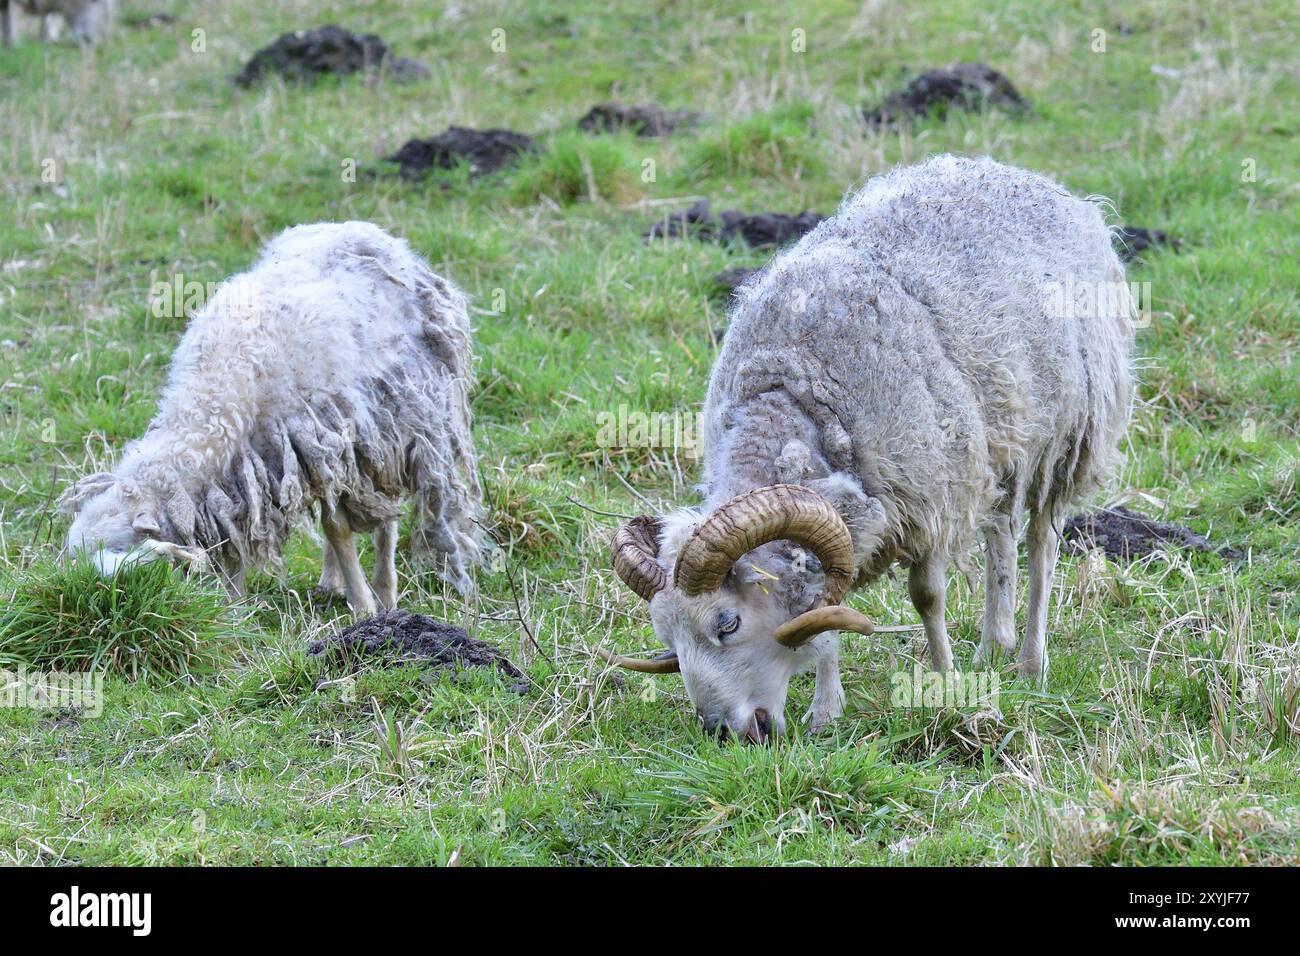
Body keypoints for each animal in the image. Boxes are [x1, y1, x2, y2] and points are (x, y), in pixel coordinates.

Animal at [59, 221, 482, 614]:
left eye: (118, 551)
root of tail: (365, 229)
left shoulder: (320, 443)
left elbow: (337, 527)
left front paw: (363, 606)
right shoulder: (253, 468)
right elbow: (240, 533)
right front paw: (231, 607)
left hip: (390, 422)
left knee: (384, 517)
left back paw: (383, 590)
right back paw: (332, 580)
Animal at [605, 154, 1135, 741]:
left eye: (728, 622)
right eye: (669, 639)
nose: (722, 733)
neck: (792, 390)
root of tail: (1023, 175)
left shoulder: (928, 494)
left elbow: (926, 597)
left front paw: (942, 680)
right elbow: (825, 610)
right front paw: (825, 711)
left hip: (1065, 436)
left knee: (1041, 545)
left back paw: (1029, 661)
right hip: (999, 441)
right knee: (1001, 533)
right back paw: (993, 644)